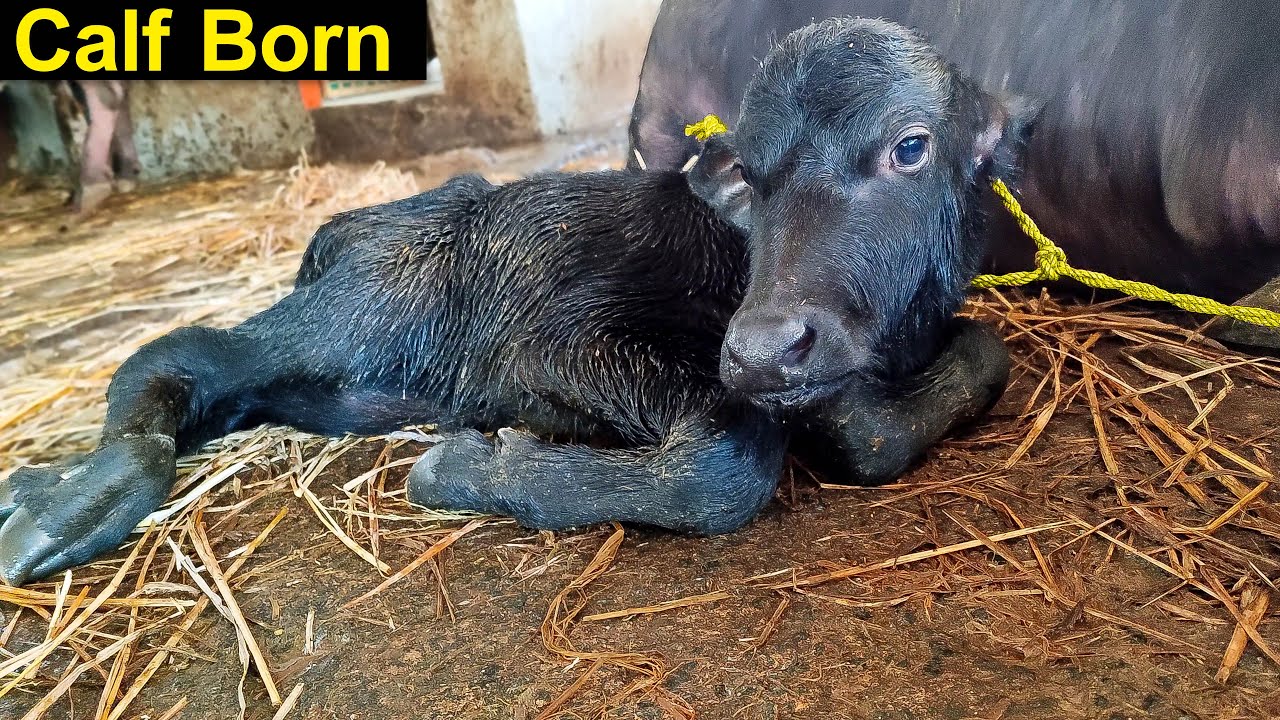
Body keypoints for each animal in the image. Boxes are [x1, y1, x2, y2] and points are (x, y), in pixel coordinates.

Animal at [0, 18, 1025, 587]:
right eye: (752, 170)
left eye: (910, 146)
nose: (765, 347)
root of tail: (351, 225)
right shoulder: (559, 347)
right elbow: (728, 462)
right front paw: (473, 466)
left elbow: (947, 381)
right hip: (370, 312)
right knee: (175, 355)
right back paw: (58, 511)